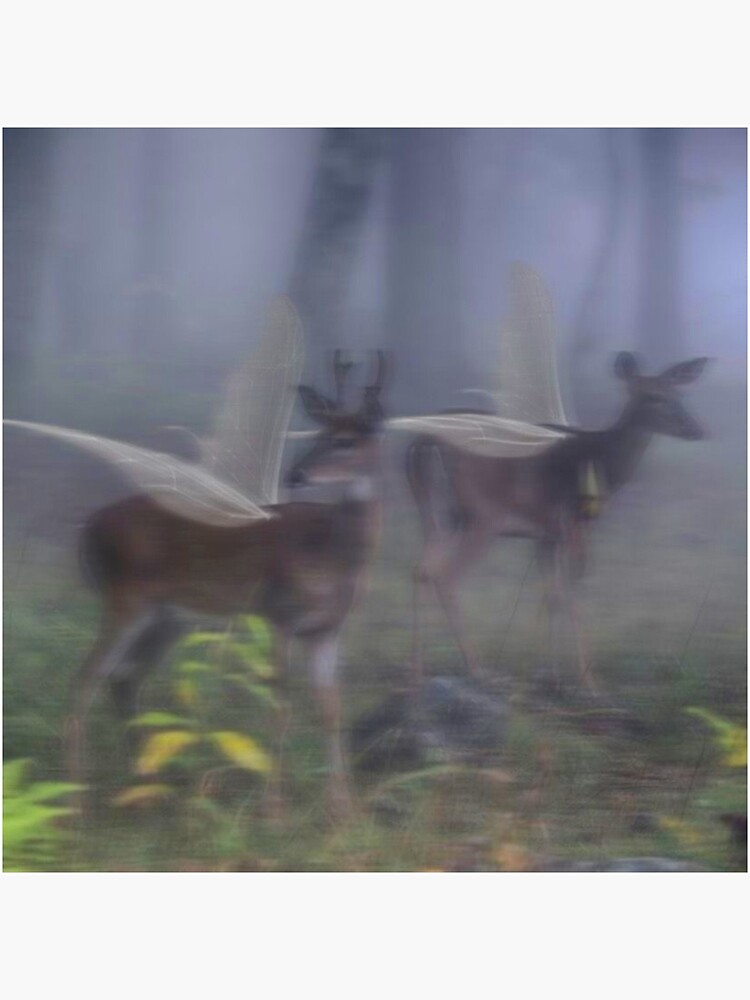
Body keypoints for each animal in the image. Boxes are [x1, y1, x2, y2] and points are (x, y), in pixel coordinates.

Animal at [406, 351, 710, 696]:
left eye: (679, 395)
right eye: (654, 398)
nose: (695, 429)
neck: (603, 463)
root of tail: (425, 442)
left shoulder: (546, 535)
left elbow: (552, 597)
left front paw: (550, 676)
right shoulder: (574, 524)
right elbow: (573, 596)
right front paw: (589, 682)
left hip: (435, 513)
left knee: (421, 571)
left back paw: (417, 673)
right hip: (481, 516)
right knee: (445, 576)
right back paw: (477, 669)